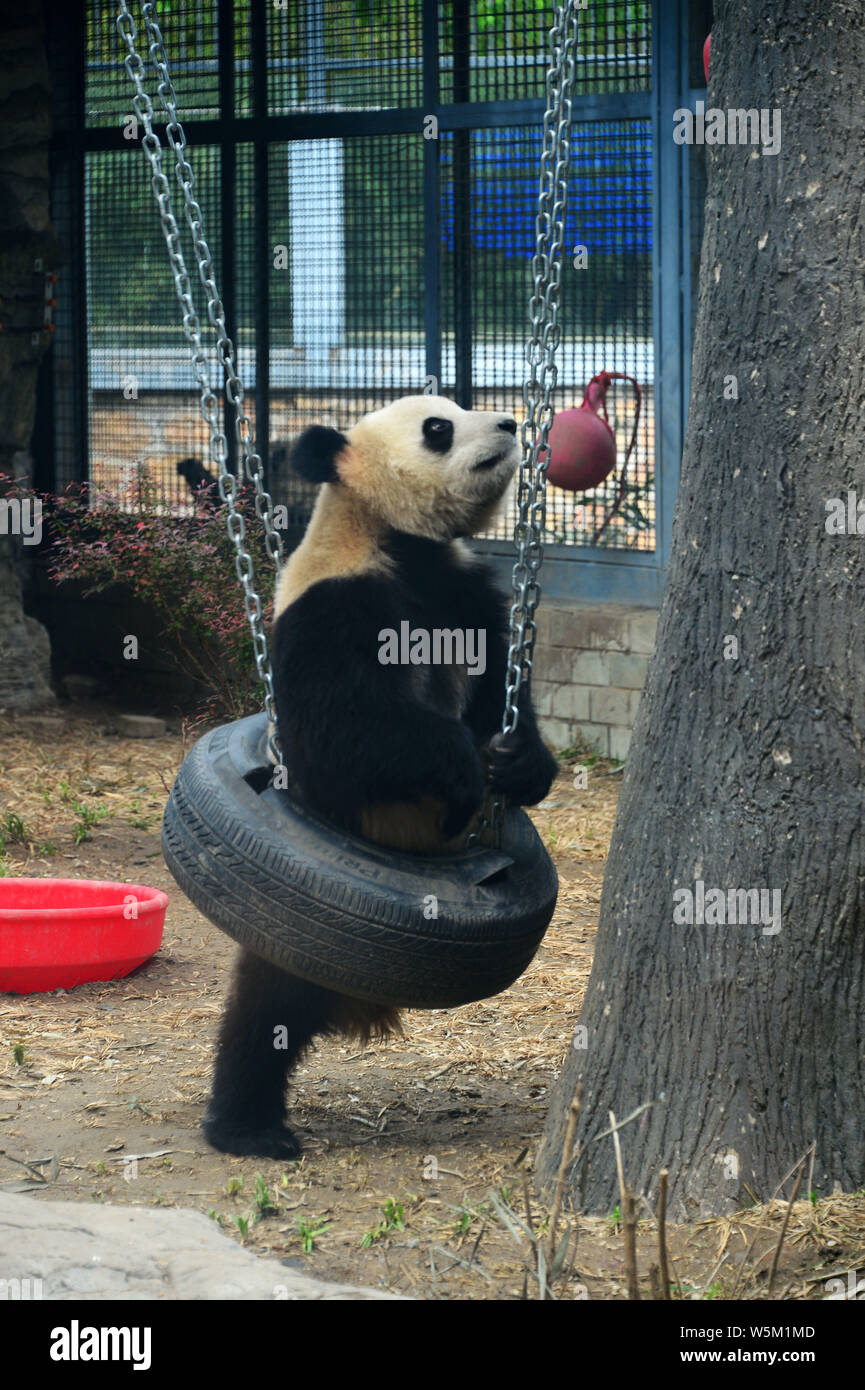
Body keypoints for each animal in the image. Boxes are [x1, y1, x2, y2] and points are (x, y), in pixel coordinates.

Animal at [202, 395, 558, 1159]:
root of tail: (358, 995)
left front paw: (518, 759)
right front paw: (464, 766)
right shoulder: (334, 605)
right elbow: (343, 731)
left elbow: (496, 688)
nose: (509, 424)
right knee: (266, 1009)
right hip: (302, 923)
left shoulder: (464, 593)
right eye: (438, 428)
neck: (396, 541)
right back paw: (246, 1126)